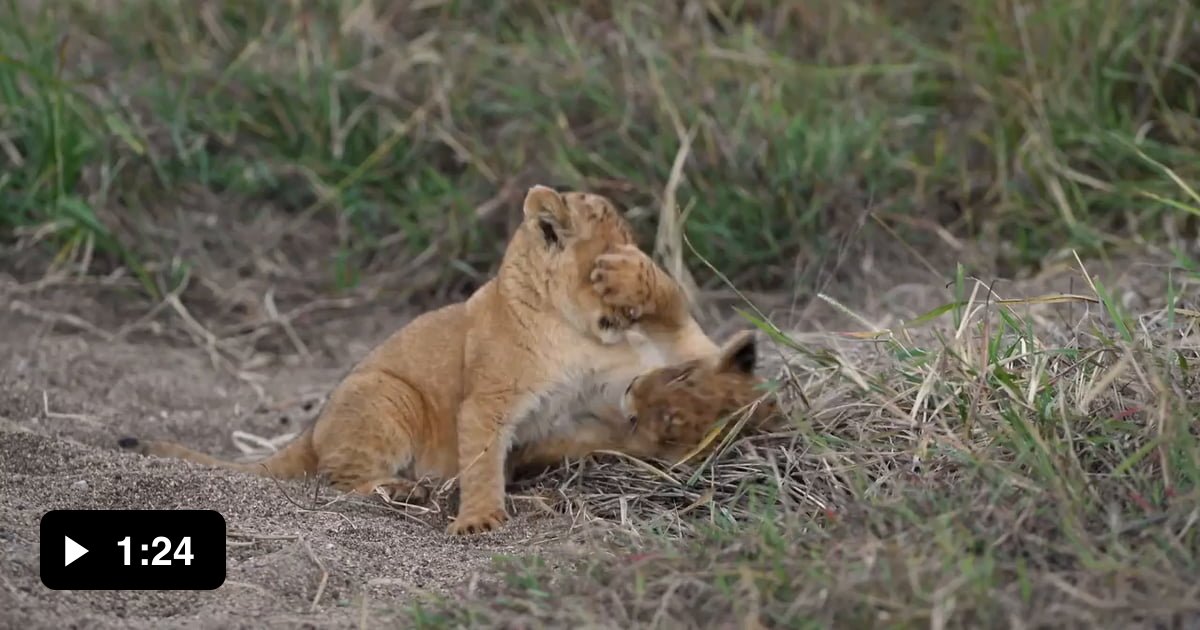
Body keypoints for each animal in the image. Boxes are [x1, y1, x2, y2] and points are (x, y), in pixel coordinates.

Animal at [119, 185, 722, 535]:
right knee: (339, 481)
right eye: (602, 265)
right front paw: (478, 520)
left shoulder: (617, 388)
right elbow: (480, 461)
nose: (630, 314)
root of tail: (310, 430)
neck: (575, 333)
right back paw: (409, 490)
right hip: (386, 393)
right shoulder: (486, 402)